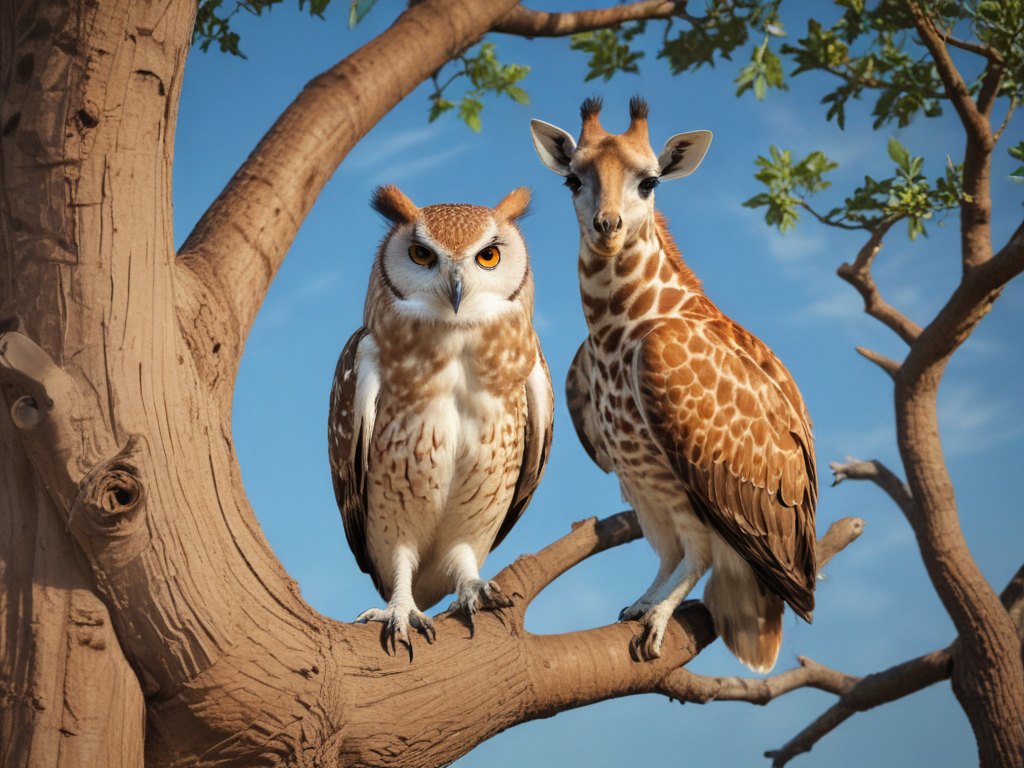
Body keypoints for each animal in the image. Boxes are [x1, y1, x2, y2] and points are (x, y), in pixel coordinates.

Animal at [531, 97, 817, 671]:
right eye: (573, 180)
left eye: (650, 182)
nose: (607, 226)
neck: (615, 326)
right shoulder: (639, 480)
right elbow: (666, 559)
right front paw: (643, 604)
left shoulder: (684, 491)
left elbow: (695, 558)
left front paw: (659, 617)